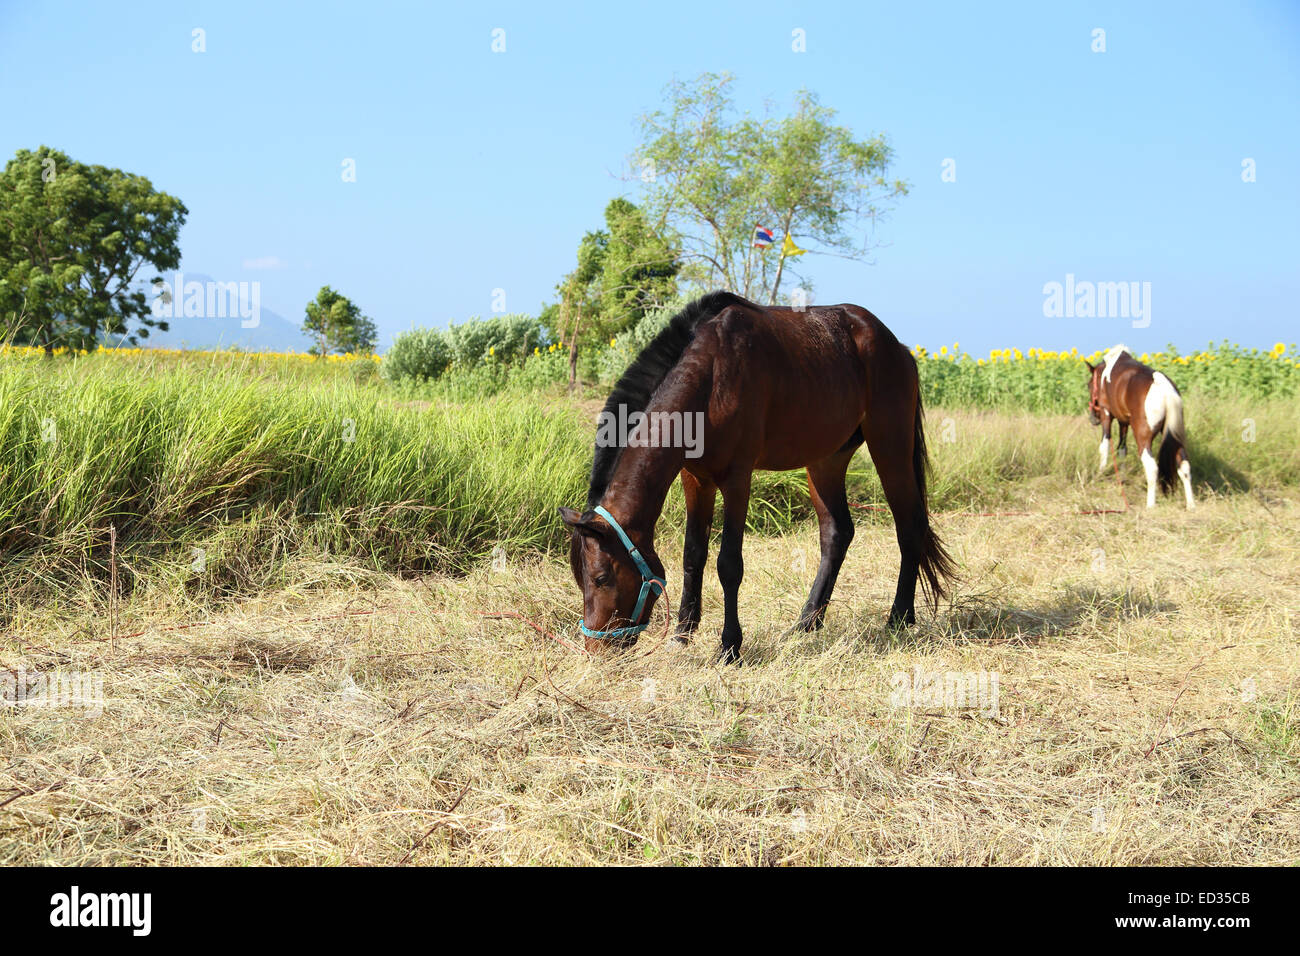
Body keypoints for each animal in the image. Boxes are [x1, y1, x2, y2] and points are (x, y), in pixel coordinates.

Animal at [558, 291, 955, 663]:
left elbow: (728, 564)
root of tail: (896, 346)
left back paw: (899, 617)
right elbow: (693, 555)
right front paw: (683, 634)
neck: (710, 376)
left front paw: (729, 647)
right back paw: (808, 621)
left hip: (890, 447)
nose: (596, 650)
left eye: (601, 578)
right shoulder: (695, 479)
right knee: (837, 533)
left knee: (909, 527)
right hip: (826, 460)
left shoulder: (737, 478)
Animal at [1085, 344, 1194, 509]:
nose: (1093, 419)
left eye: (1089, 386)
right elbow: (1122, 449)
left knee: (1152, 468)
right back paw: (1191, 504)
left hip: (1143, 437)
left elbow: (1104, 446)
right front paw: (1123, 477)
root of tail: (1162, 386)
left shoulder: (1106, 415)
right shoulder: (1124, 421)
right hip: (1175, 437)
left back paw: (1150, 505)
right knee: (1184, 465)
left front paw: (1099, 474)